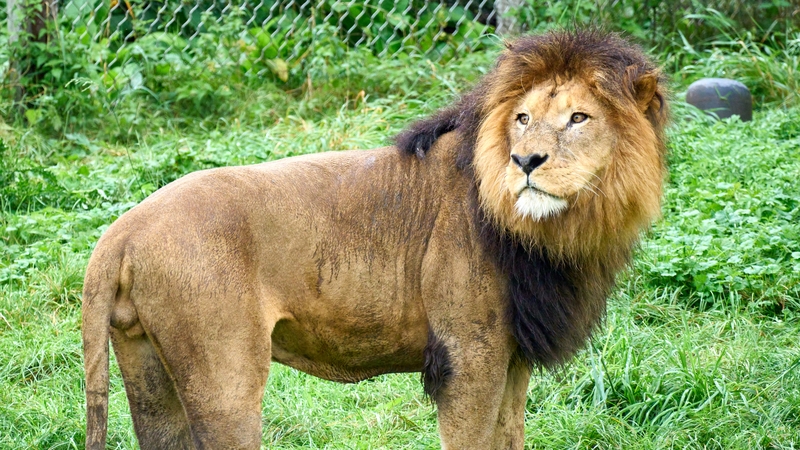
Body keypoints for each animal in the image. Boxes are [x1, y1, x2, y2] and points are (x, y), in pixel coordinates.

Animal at [82, 30, 667, 449]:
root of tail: (122, 229)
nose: (525, 161)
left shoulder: (512, 356)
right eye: (523, 118)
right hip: (225, 377)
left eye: (578, 118)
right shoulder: (467, 356)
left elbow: (510, 437)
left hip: (146, 363)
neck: (553, 232)